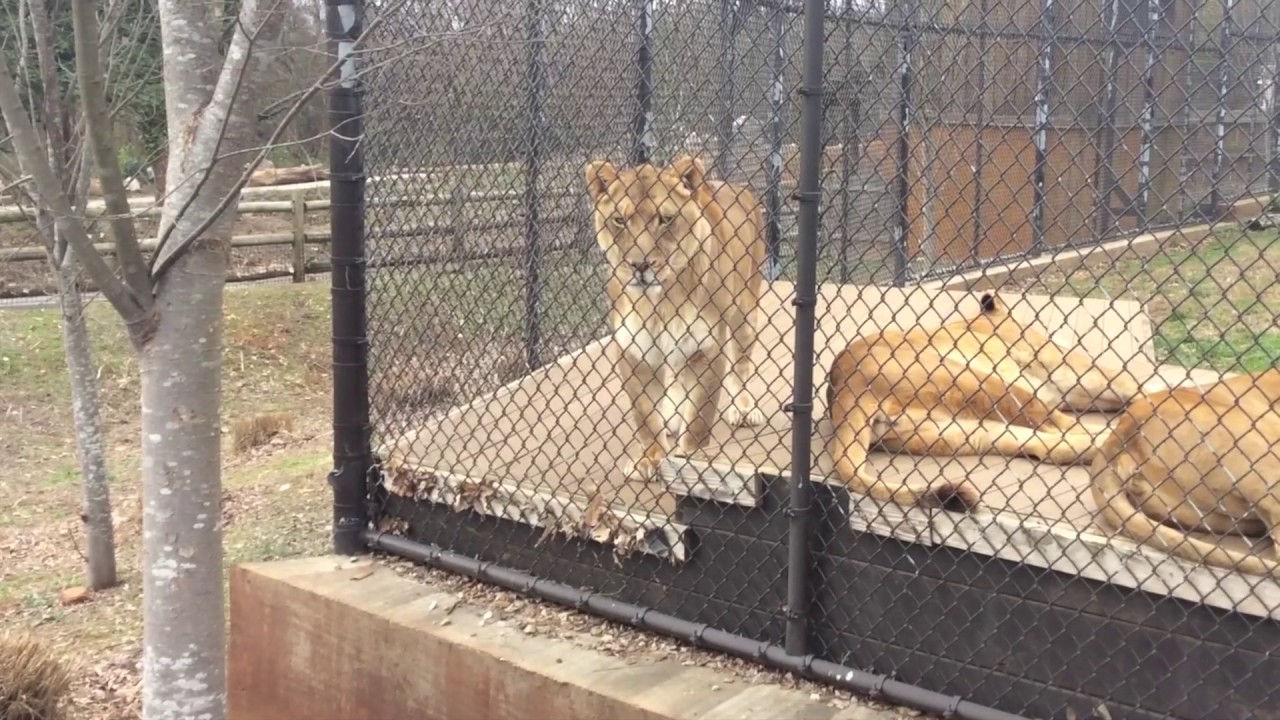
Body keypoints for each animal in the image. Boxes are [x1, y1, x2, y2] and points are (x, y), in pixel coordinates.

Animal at [584, 154, 767, 481]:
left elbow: (700, 415)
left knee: (741, 367)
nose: (640, 265)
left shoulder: (707, 348)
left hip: (745, 314)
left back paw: (744, 409)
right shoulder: (635, 351)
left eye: (665, 219)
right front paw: (649, 458)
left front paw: (690, 459)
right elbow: (645, 415)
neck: (660, 303)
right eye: (619, 220)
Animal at [826, 291, 1141, 511]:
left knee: (1047, 446)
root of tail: (843, 389)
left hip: (968, 432)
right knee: (1060, 427)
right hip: (983, 384)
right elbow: (1129, 382)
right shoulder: (1066, 371)